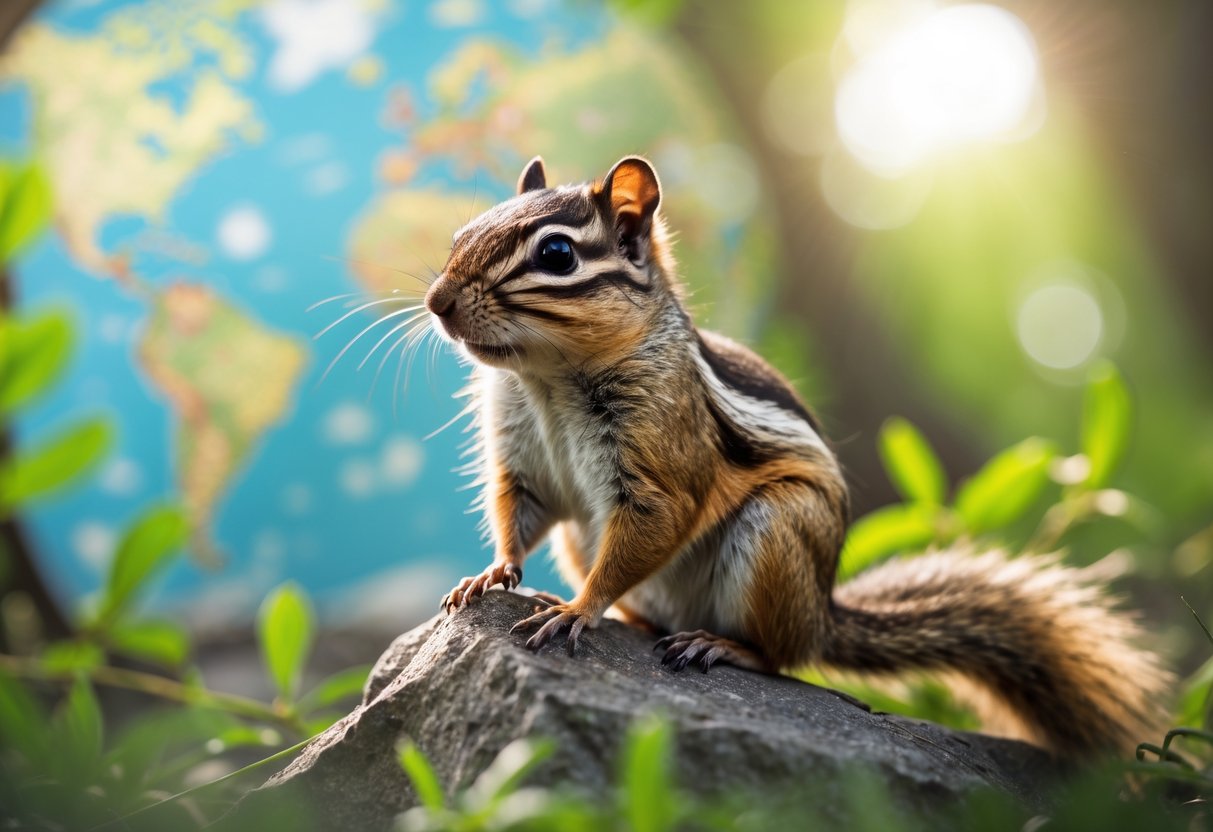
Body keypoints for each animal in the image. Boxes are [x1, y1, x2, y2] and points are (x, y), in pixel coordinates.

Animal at [424, 154, 1170, 759]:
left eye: (556, 254)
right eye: (461, 235)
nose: (437, 301)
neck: (548, 378)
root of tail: (822, 612)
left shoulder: (660, 464)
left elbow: (656, 522)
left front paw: (577, 610)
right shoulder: (523, 459)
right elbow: (518, 512)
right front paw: (492, 575)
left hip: (777, 530)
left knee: (781, 658)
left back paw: (716, 644)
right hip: (589, 539)